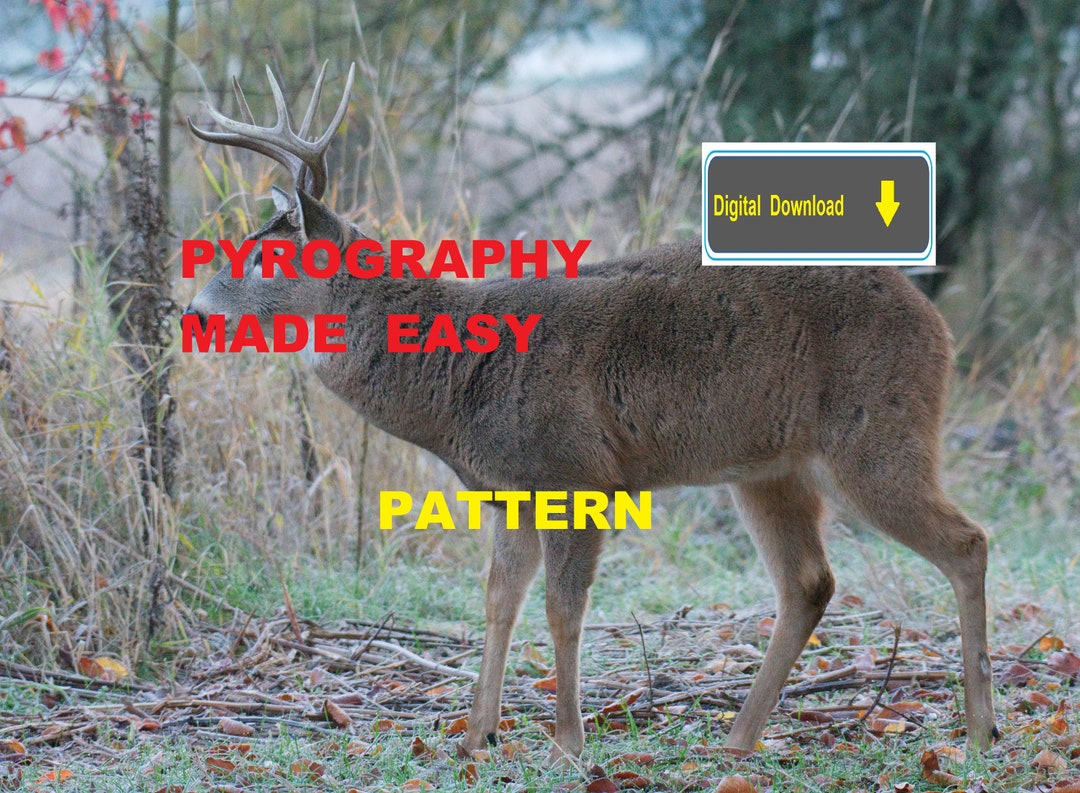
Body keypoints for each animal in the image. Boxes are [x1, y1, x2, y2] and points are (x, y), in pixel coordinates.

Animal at [184, 63, 998, 762]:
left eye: (265, 258)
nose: (193, 308)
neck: (457, 381)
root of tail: (937, 325)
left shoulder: (577, 470)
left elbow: (561, 607)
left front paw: (567, 742)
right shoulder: (508, 490)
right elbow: (498, 600)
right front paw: (475, 735)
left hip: (878, 433)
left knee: (968, 542)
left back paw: (981, 730)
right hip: (772, 468)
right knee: (809, 581)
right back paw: (738, 739)